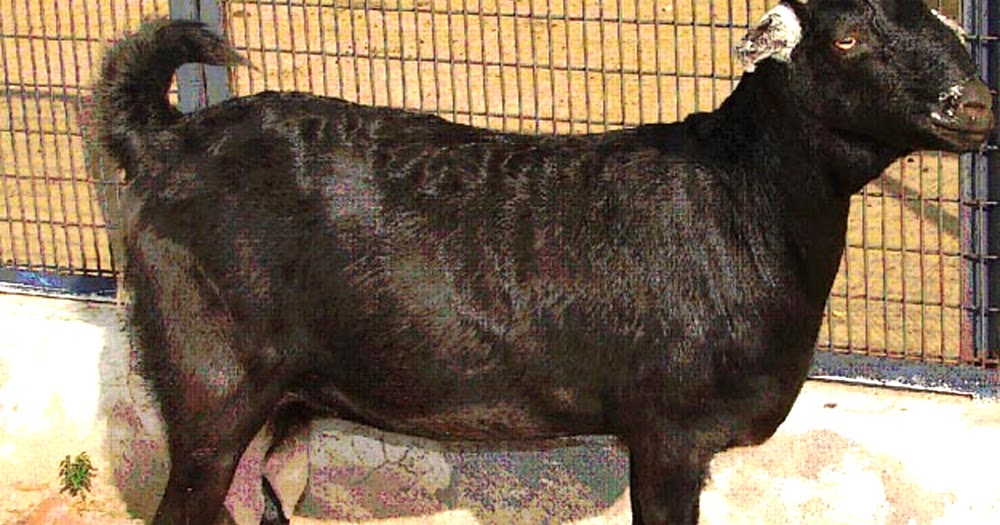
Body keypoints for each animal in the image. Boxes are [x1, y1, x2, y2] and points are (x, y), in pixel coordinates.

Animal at [91, 0, 993, 523]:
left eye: (951, 29)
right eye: (847, 37)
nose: (975, 104)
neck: (736, 196)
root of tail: (166, 138)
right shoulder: (667, 433)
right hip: (210, 377)